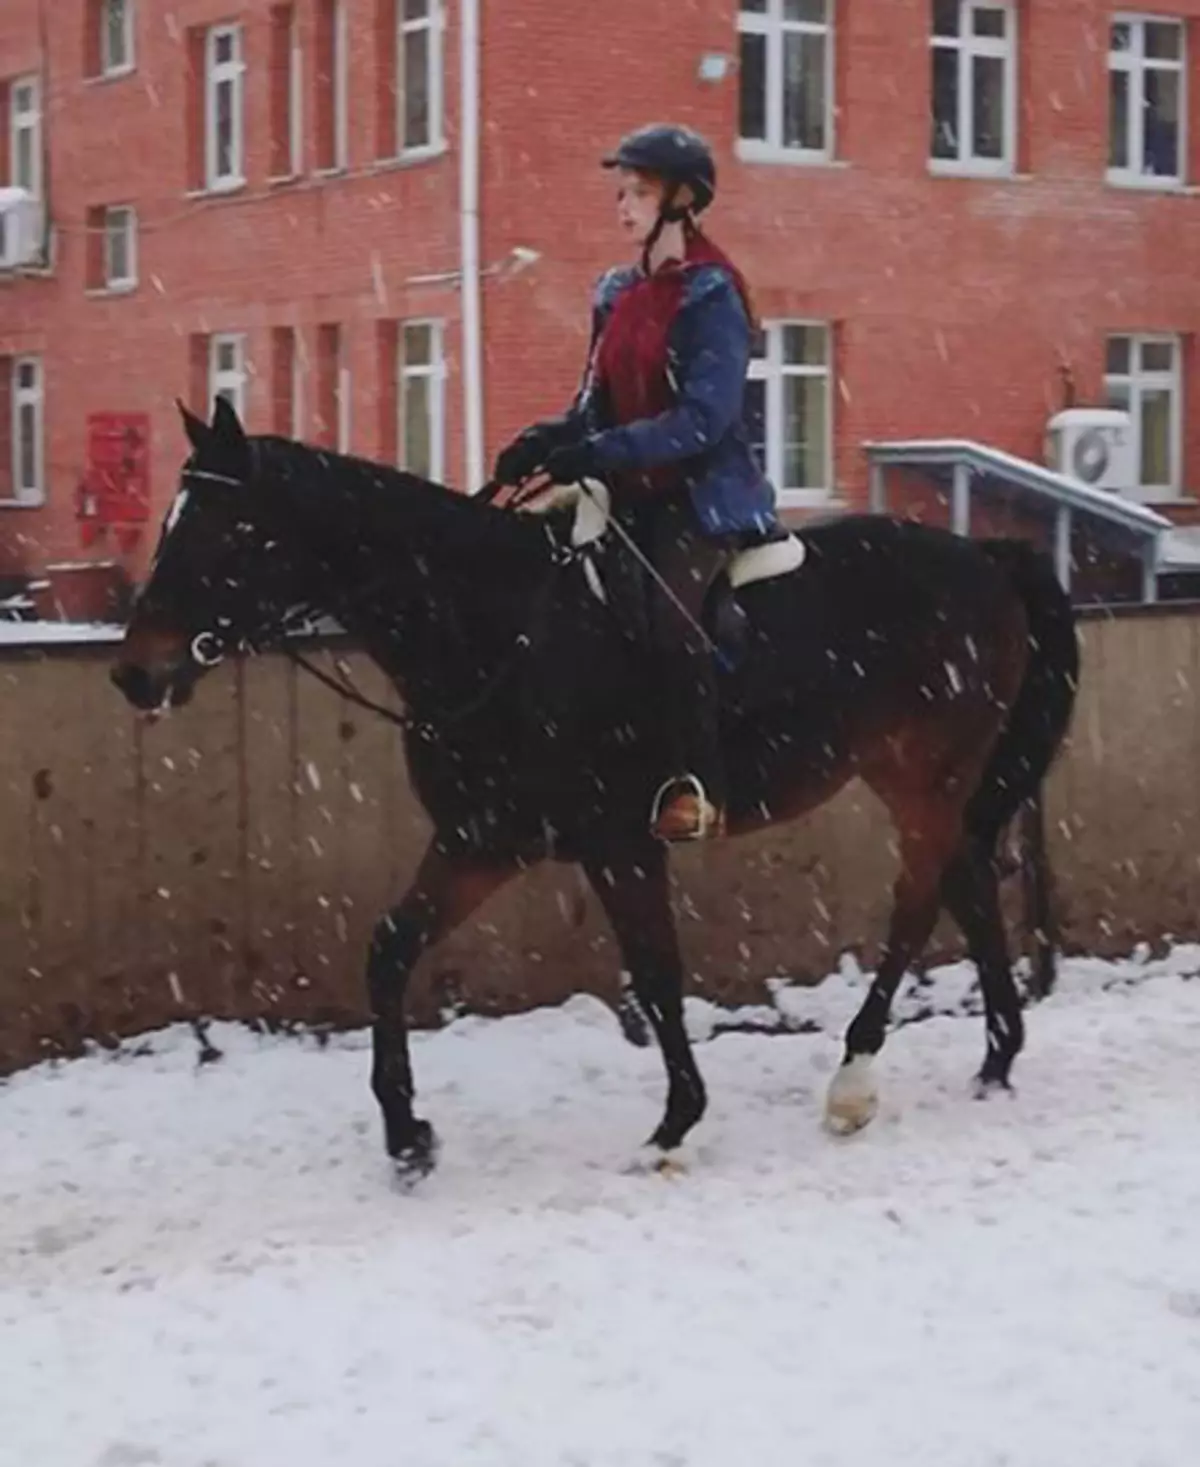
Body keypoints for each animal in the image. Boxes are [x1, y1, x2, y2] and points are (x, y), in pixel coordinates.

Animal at [112, 399, 1079, 1179]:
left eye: (226, 533)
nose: (134, 672)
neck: (495, 625)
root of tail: (983, 554)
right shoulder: (483, 840)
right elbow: (389, 948)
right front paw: (407, 1135)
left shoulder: (619, 843)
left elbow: (655, 971)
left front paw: (675, 1123)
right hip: (919, 779)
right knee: (965, 882)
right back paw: (997, 1057)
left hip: (926, 774)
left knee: (918, 901)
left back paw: (856, 1079)